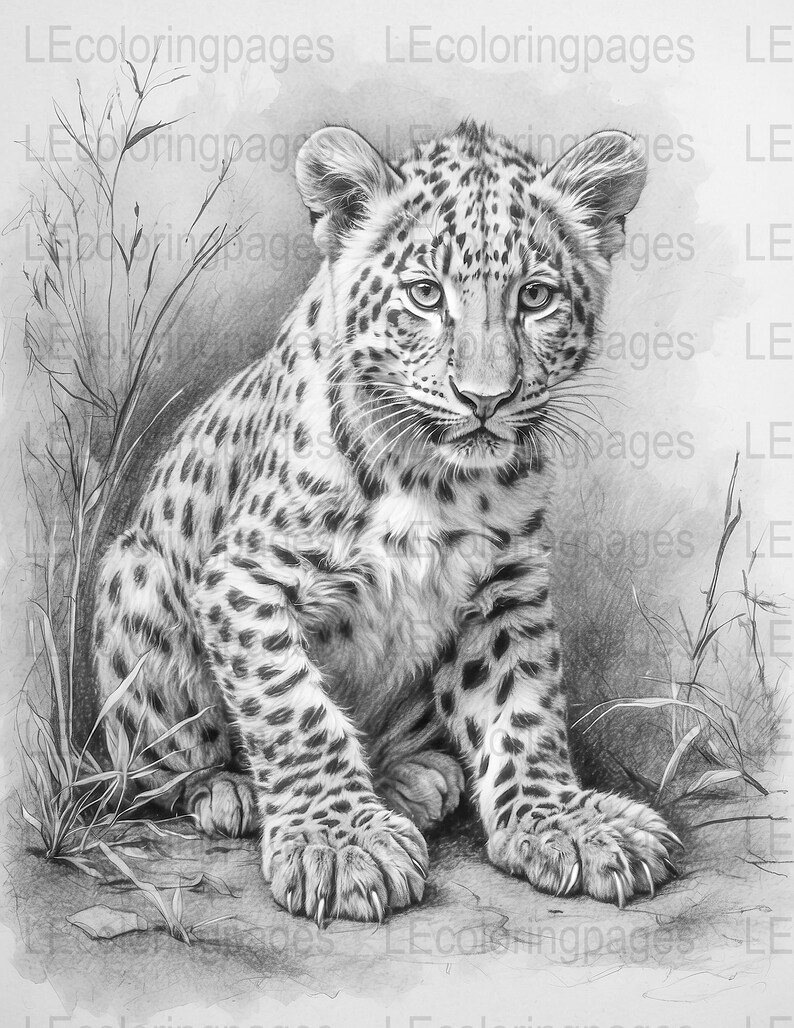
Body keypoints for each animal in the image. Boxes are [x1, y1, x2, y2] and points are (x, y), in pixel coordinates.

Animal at [93, 119, 683, 926]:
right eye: (425, 294)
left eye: (535, 296)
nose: (486, 398)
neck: (435, 478)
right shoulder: (246, 577)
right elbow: (294, 710)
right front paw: (338, 844)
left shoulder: (505, 586)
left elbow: (522, 709)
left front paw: (562, 822)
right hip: (136, 579)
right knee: (158, 770)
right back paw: (227, 792)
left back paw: (414, 780)